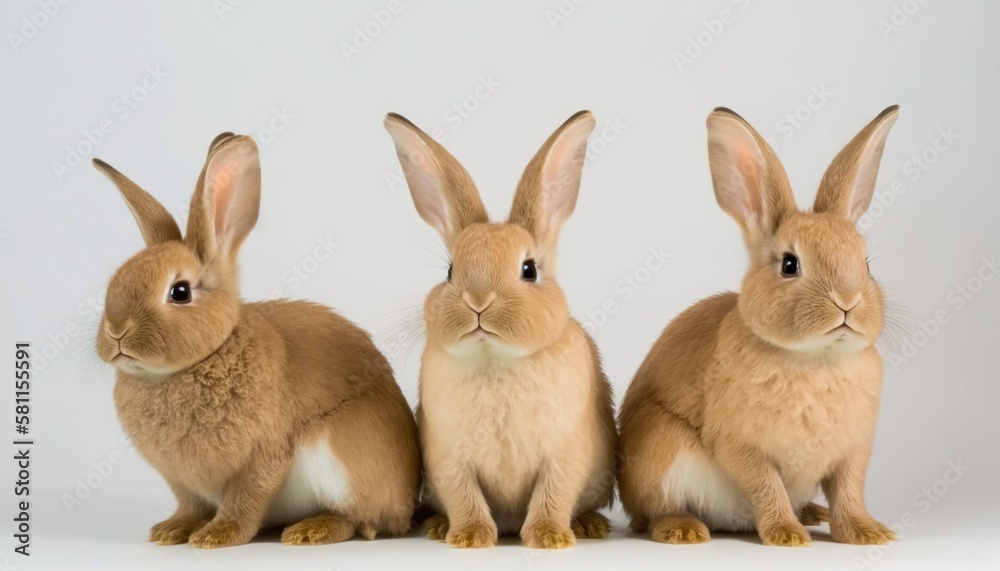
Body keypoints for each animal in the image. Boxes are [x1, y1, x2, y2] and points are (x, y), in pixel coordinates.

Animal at [91, 132, 420, 548]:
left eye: (179, 292)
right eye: (115, 281)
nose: (116, 332)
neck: (208, 355)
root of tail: (408, 505)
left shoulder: (264, 455)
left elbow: (246, 500)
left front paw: (216, 536)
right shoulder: (181, 480)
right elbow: (190, 505)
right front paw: (171, 531)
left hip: (340, 459)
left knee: (358, 520)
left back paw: (310, 530)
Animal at [383, 111, 617, 549]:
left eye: (529, 269)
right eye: (450, 271)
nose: (478, 300)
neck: (494, 359)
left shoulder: (564, 453)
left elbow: (553, 494)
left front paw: (549, 538)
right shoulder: (448, 458)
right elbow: (464, 496)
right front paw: (469, 537)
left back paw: (588, 526)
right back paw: (439, 527)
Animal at [617, 106, 900, 547]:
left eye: (866, 264)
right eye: (789, 264)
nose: (847, 302)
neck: (816, 358)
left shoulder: (852, 453)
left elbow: (849, 493)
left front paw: (868, 533)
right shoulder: (742, 447)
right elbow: (767, 487)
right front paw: (787, 536)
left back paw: (813, 513)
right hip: (661, 447)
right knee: (655, 512)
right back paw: (684, 530)